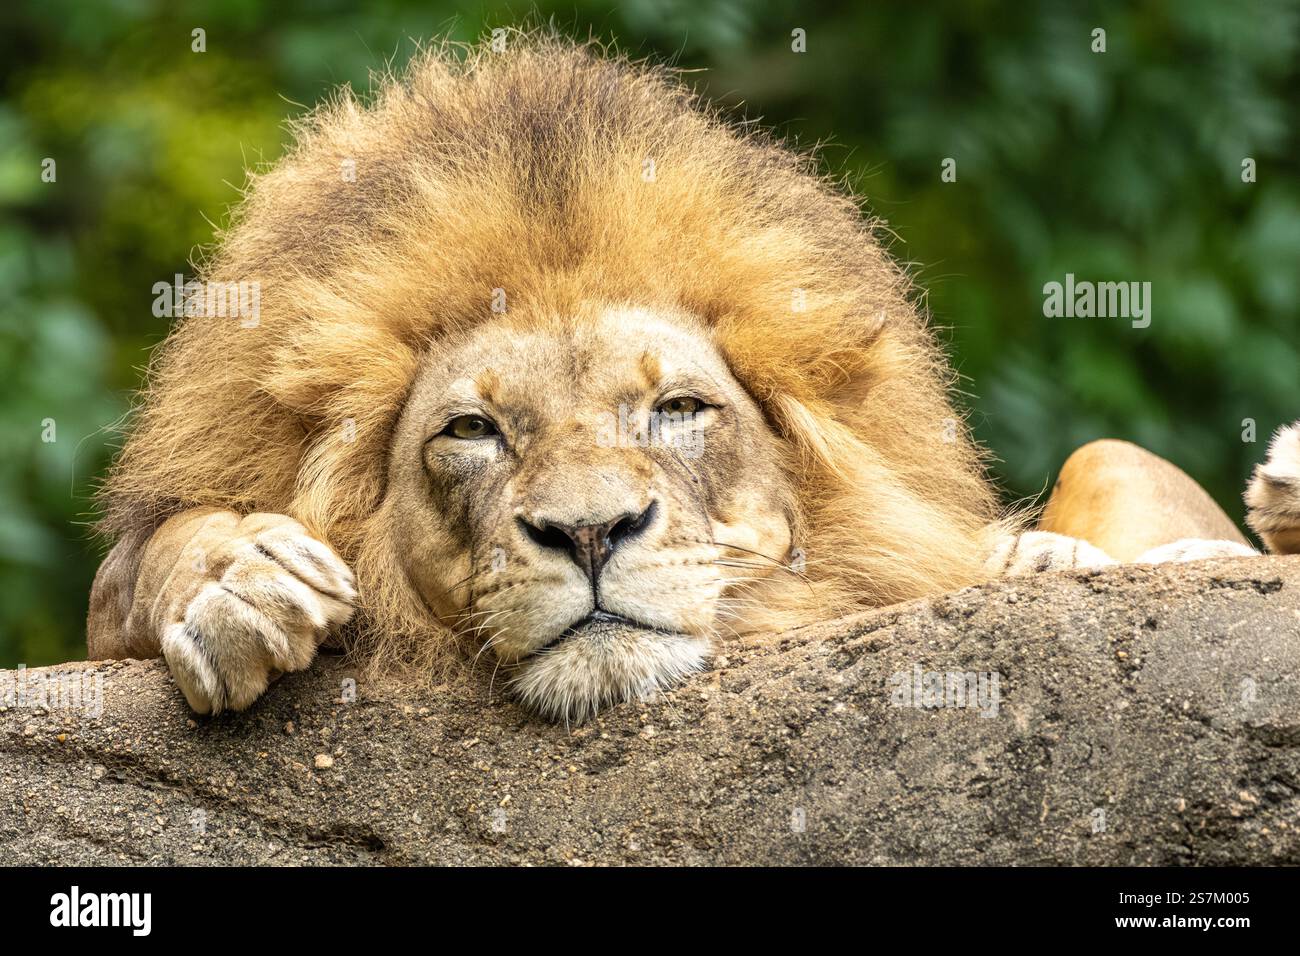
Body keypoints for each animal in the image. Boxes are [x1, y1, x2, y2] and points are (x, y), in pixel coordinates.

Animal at [87, 33, 1300, 723]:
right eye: (472, 430)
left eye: (678, 410)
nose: (588, 535)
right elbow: (159, 552)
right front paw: (239, 584)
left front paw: (1038, 562)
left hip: (1114, 456)